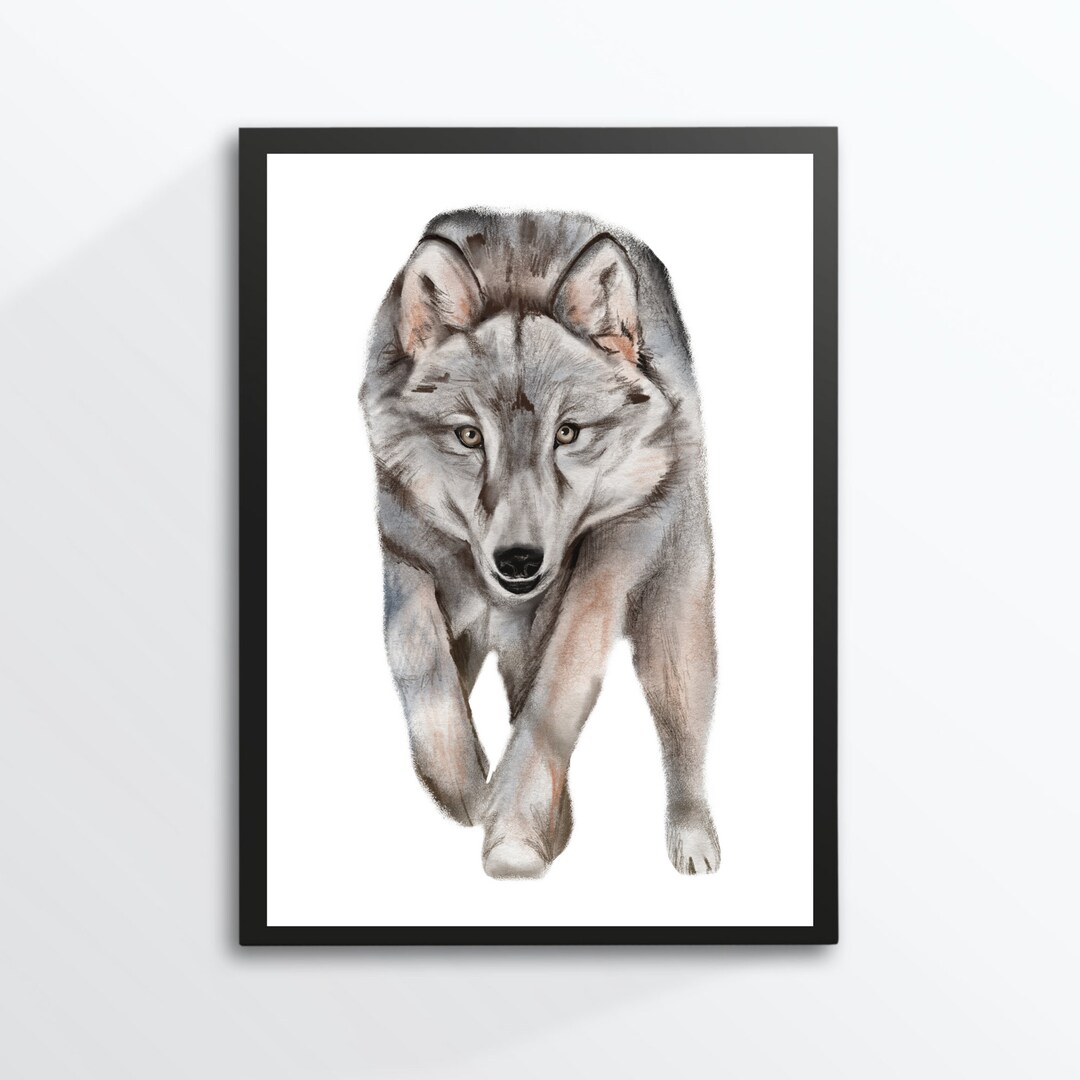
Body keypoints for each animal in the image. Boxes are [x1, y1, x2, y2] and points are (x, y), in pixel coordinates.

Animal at [360, 208, 720, 879]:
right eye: (470, 436)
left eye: (568, 433)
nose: (519, 560)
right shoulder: (404, 555)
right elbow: (421, 667)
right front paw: (464, 789)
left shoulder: (598, 580)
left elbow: (554, 695)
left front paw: (518, 839)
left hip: (675, 636)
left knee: (682, 734)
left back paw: (692, 839)